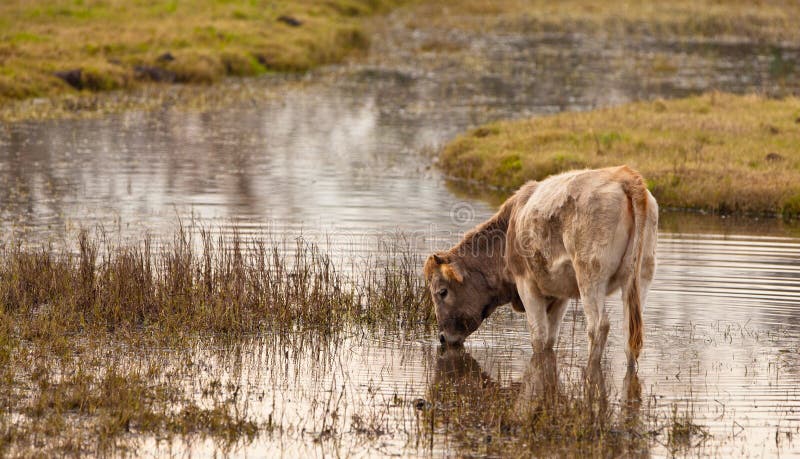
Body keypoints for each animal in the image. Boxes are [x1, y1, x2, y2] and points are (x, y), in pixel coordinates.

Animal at [424, 166, 658, 367]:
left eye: (442, 291)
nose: (442, 337)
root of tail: (623, 174)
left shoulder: (526, 283)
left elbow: (538, 337)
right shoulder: (560, 293)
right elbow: (550, 339)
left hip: (590, 275)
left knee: (599, 326)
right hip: (641, 276)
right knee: (630, 333)